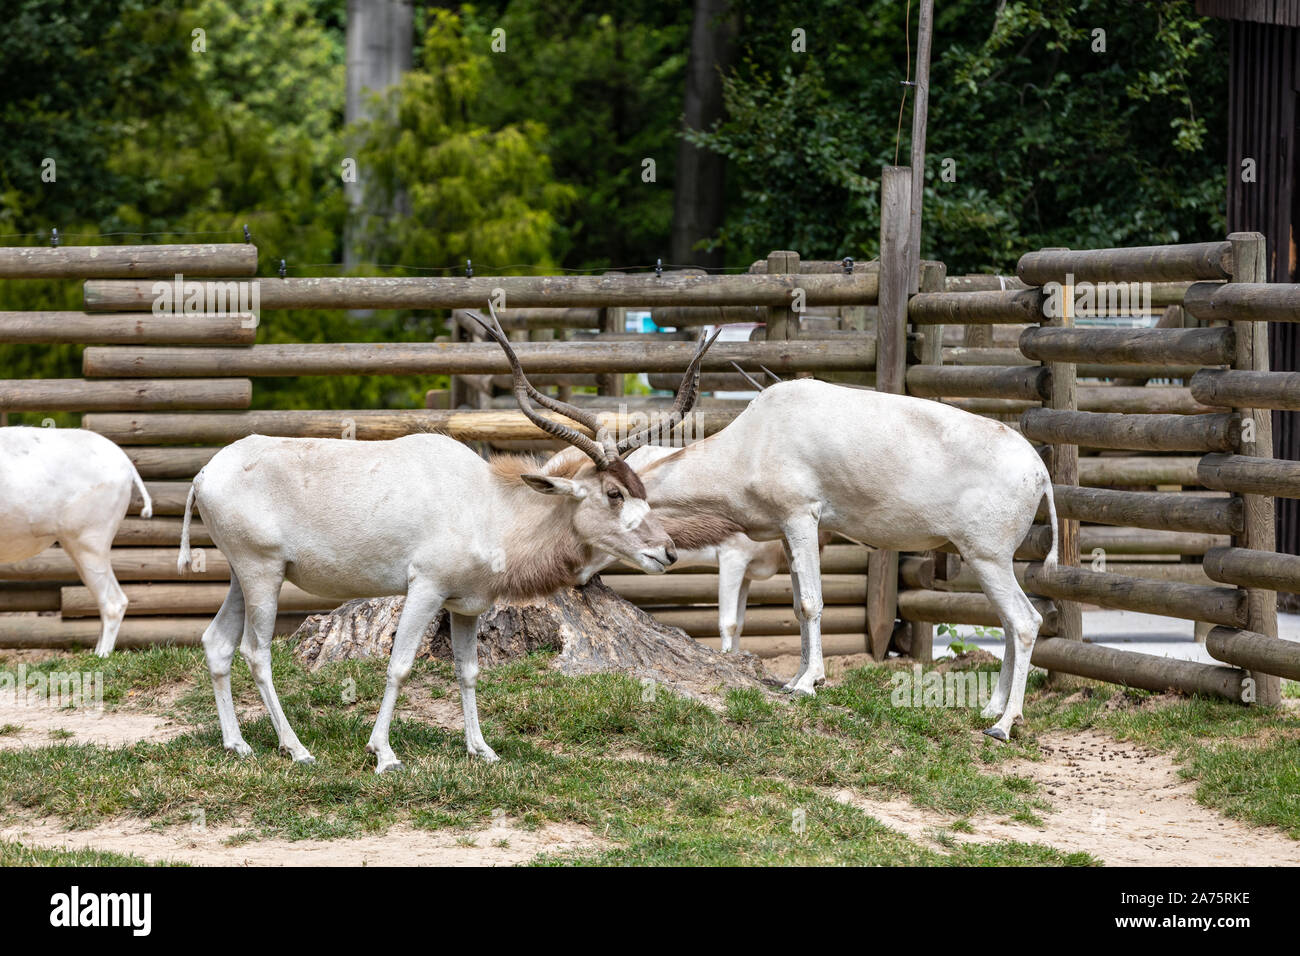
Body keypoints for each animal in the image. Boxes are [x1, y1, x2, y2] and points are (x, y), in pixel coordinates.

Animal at [178, 308, 717, 771]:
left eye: (640, 489)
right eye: (612, 492)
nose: (666, 551)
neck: (489, 504)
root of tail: (207, 472)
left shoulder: (467, 604)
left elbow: (468, 670)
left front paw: (482, 749)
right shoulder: (425, 589)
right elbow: (400, 665)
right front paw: (384, 753)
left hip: (242, 576)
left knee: (217, 643)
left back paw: (237, 744)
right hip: (263, 573)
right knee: (257, 653)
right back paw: (297, 749)